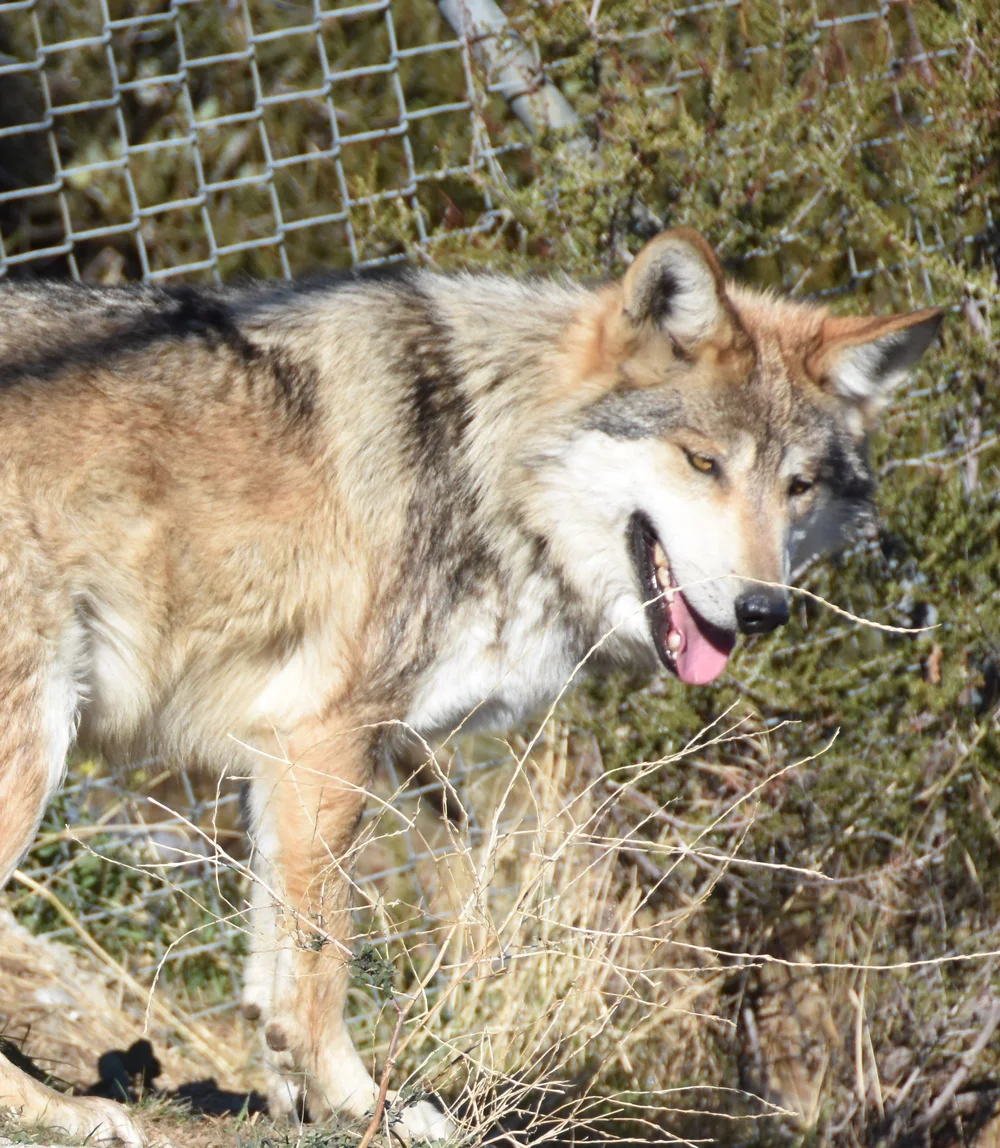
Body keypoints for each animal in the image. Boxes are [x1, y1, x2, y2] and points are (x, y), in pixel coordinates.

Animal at [0, 229, 941, 1145]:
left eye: (798, 486)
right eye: (702, 462)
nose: (761, 610)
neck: (487, 455)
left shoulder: (283, 752)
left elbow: (272, 979)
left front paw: (308, 1103)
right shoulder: (330, 736)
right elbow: (320, 966)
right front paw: (365, 1107)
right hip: (37, 742)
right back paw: (62, 1111)